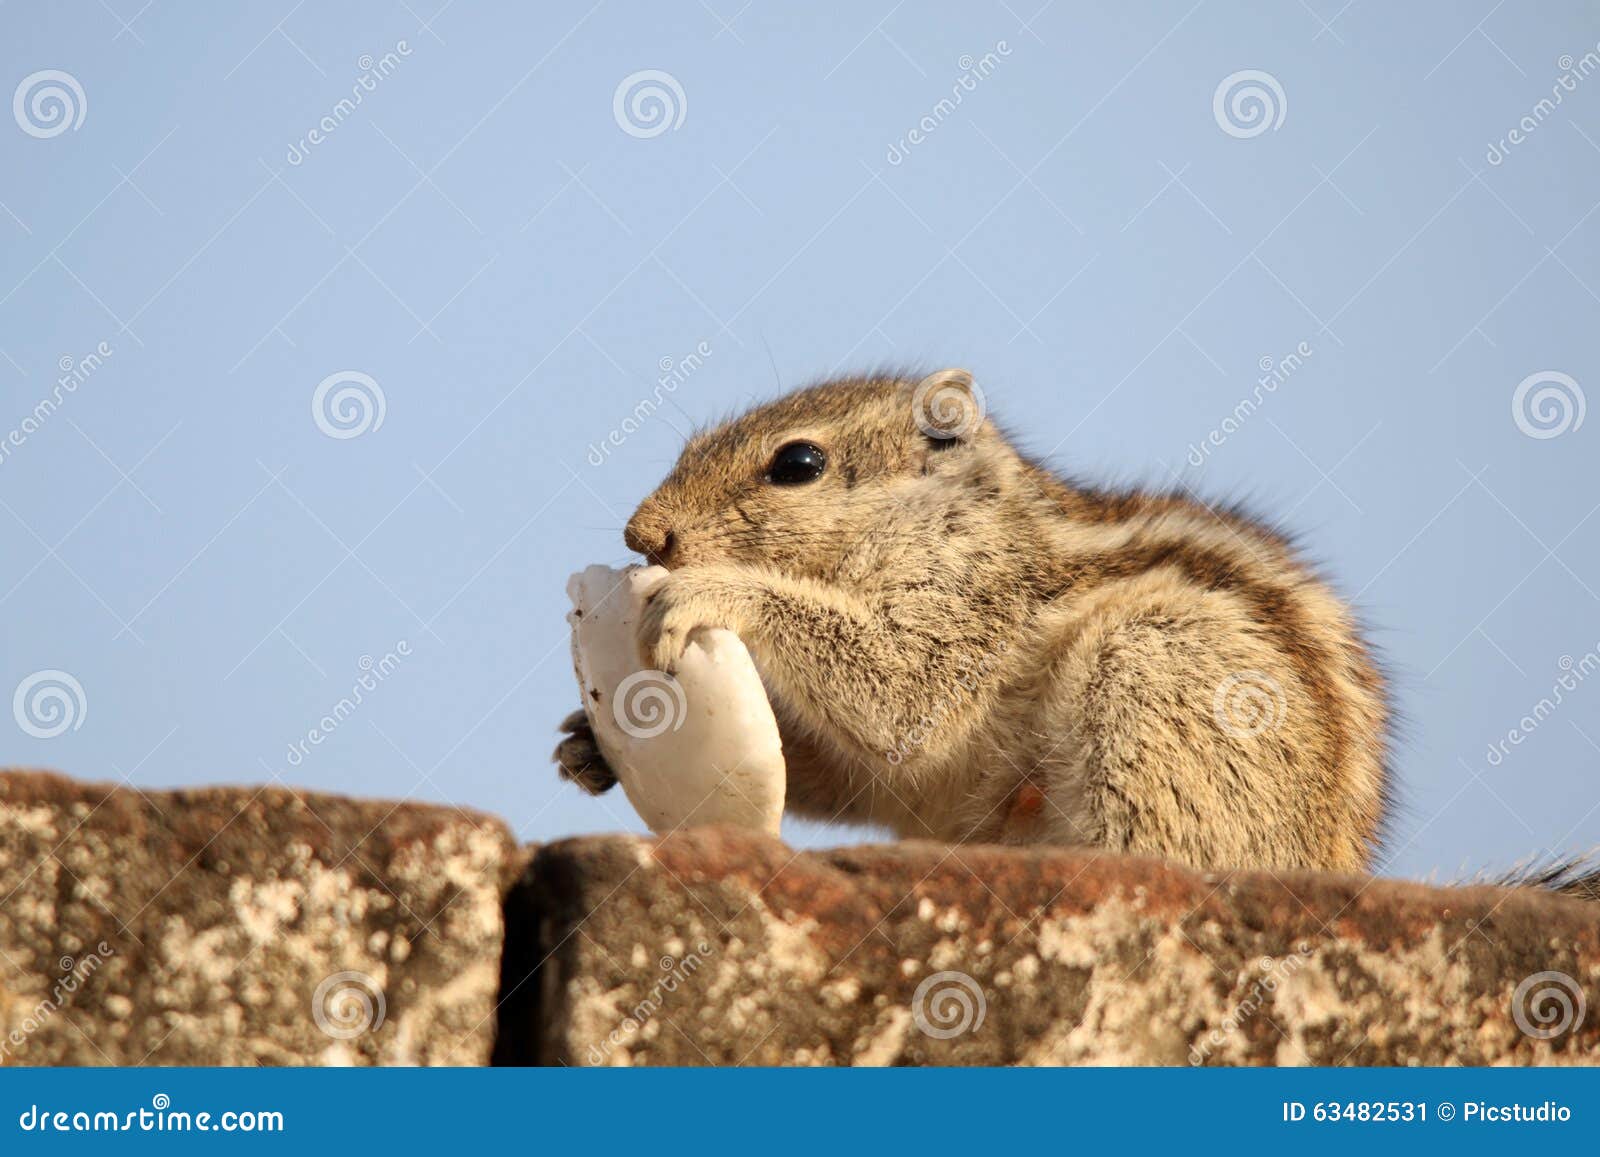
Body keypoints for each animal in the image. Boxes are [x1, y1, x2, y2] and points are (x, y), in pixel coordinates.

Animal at [555, 369, 1597, 898]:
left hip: (1151, 673)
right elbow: (856, 766)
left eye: (798, 464)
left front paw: (716, 593)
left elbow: (899, 694)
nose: (643, 536)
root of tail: (1324, 864)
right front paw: (584, 746)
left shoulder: (967, 611)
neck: (947, 522)